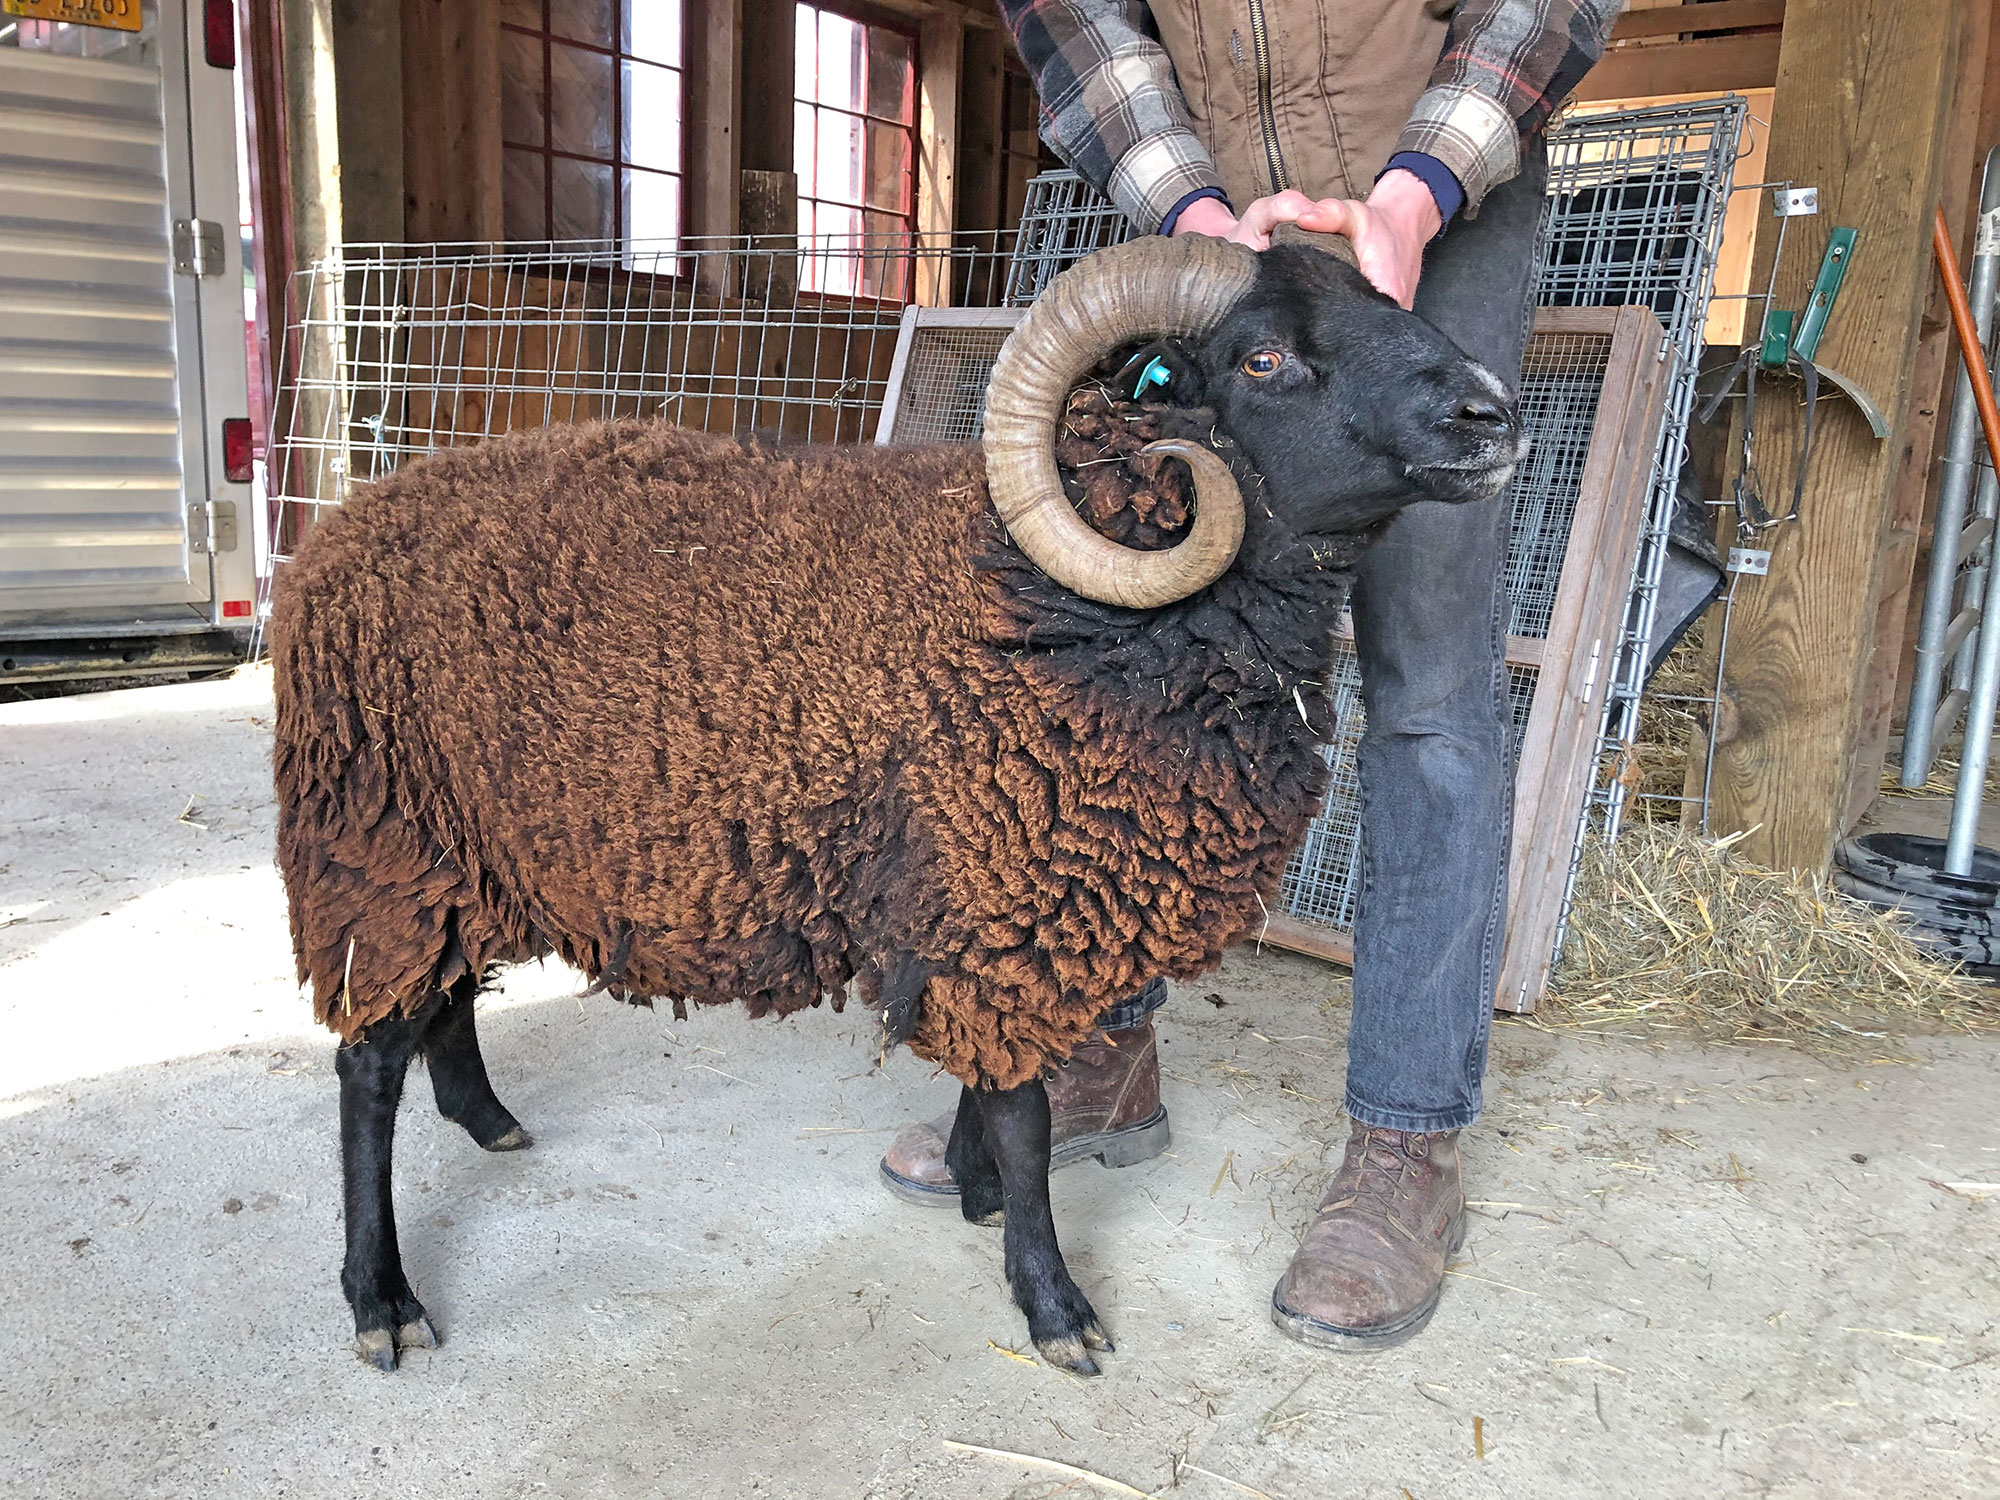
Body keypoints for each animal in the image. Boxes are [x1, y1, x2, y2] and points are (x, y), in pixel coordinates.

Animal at [272, 235, 1526, 1376]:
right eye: (1264, 358)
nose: (1493, 413)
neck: (1053, 596)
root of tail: (341, 528)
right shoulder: (1002, 893)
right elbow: (1024, 1113)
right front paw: (1051, 1301)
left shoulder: (995, 901)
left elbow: (996, 1091)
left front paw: (972, 1188)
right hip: (372, 838)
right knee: (366, 1066)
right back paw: (380, 1299)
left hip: (458, 846)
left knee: (442, 992)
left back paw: (484, 1117)